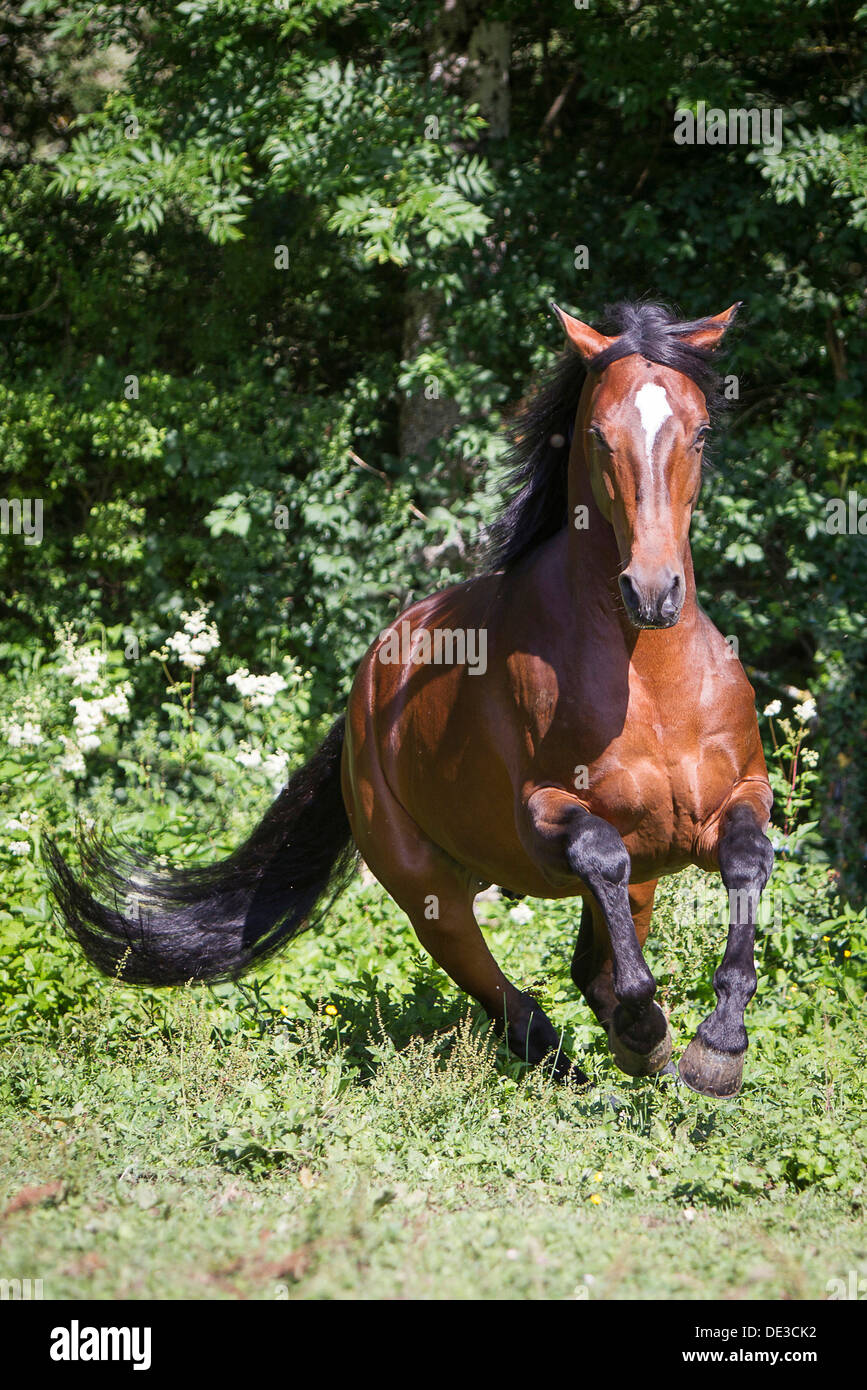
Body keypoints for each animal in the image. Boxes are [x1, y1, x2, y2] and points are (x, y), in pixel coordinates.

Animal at [46, 299, 775, 1100]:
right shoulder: (545, 818)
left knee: (589, 968)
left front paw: (718, 1046)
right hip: (427, 890)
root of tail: (365, 689)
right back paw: (608, 1057)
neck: (648, 679)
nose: (651, 590)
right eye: (597, 434)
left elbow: (746, 857)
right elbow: (598, 852)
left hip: (631, 880)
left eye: (699, 431)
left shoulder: (731, 799)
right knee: (518, 1006)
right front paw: (659, 1032)